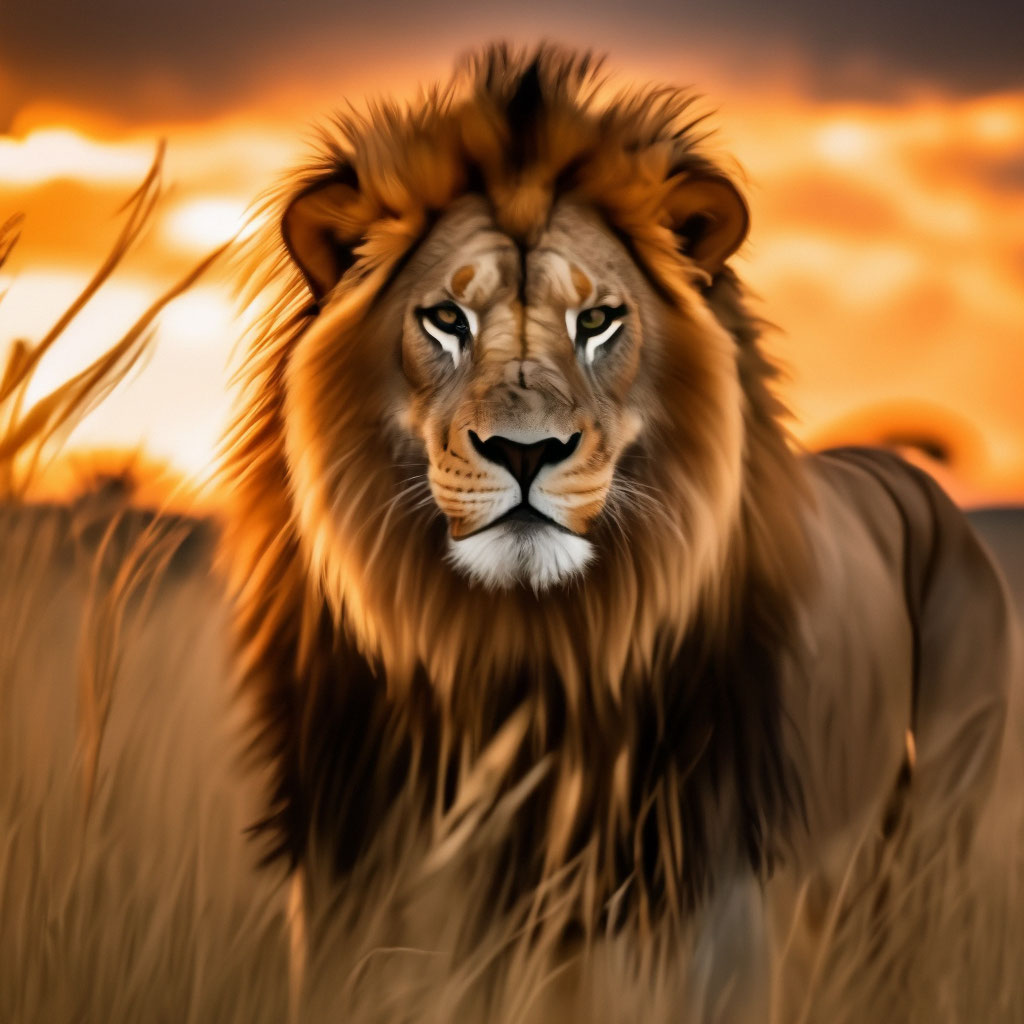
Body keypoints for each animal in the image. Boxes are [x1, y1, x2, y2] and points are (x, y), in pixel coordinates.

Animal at [219, 45, 1014, 1020]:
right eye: (446, 319)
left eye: (597, 321)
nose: (526, 451)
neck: (520, 655)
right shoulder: (353, 880)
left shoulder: (713, 894)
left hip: (933, 821)